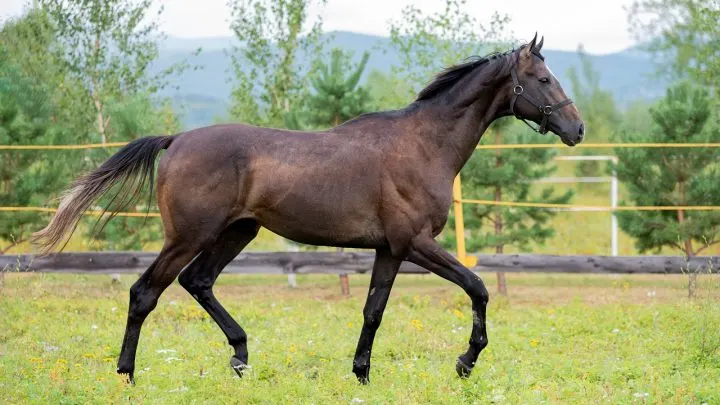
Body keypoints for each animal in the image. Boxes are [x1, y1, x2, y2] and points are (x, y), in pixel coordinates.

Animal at [32, 33, 584, 385]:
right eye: (543, 78)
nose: (577, 129)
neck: (425, 145)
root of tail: (177, 139)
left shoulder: (390, 249)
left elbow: (373, 311)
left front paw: (361, 375)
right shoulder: (417, 243)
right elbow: (478, 287)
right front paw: (466, 361)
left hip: (238, 233)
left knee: (198, 282)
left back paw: (241, 359)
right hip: (189, 236)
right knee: (145, 292)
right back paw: (127, 374)